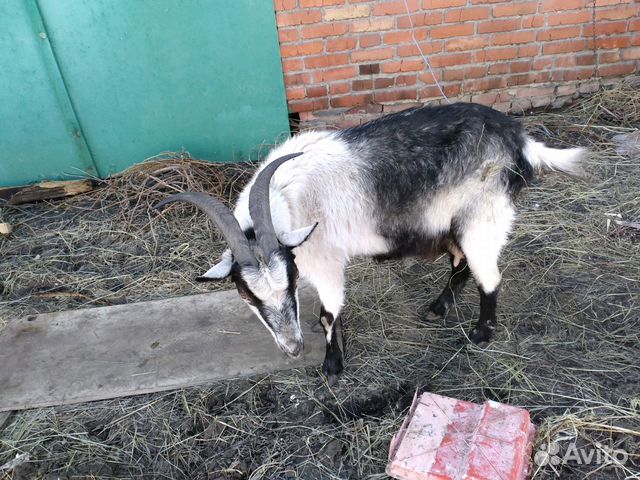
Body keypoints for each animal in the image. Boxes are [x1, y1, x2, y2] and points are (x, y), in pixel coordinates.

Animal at [156, 102, 584, 381]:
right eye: (247, 295)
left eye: (291, 282)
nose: (293, 348)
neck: (287, 198)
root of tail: (519, 140)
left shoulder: (326, 262)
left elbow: (330, 314)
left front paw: (332, 368)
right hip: (450, 224)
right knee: (461, 264)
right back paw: (437, 309)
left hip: (484, 218)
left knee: (488, 276)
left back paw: (480, 334)